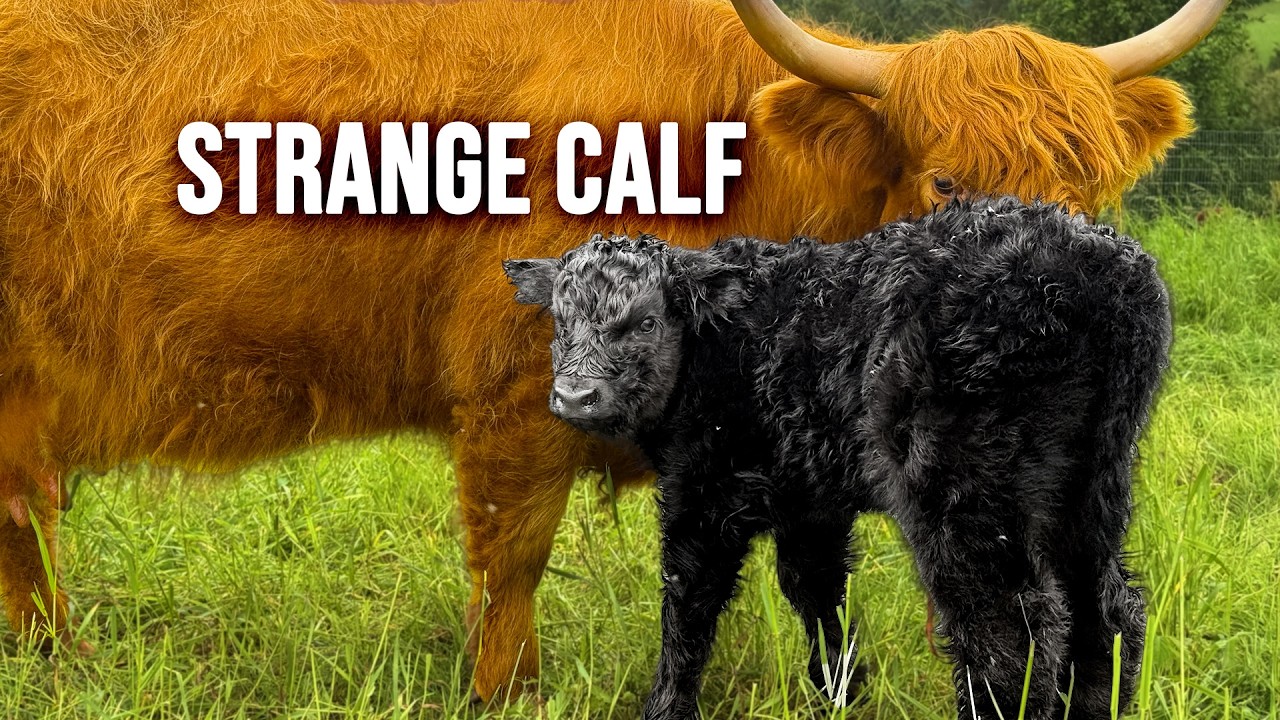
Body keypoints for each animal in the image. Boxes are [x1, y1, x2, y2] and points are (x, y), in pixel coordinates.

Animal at [504, 198, 1172, 719]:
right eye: (560, 323)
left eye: (644, 324)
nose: (575, 395)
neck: (720, 345)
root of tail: (1093, 266)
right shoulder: (808, 498)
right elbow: (815, 590)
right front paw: (840, 694)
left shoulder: (703, 489)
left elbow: (689, 604)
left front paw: (666, 708)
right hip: (1091, 483)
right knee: (1109, 612)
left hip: (965, 490)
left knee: (1009, 629)